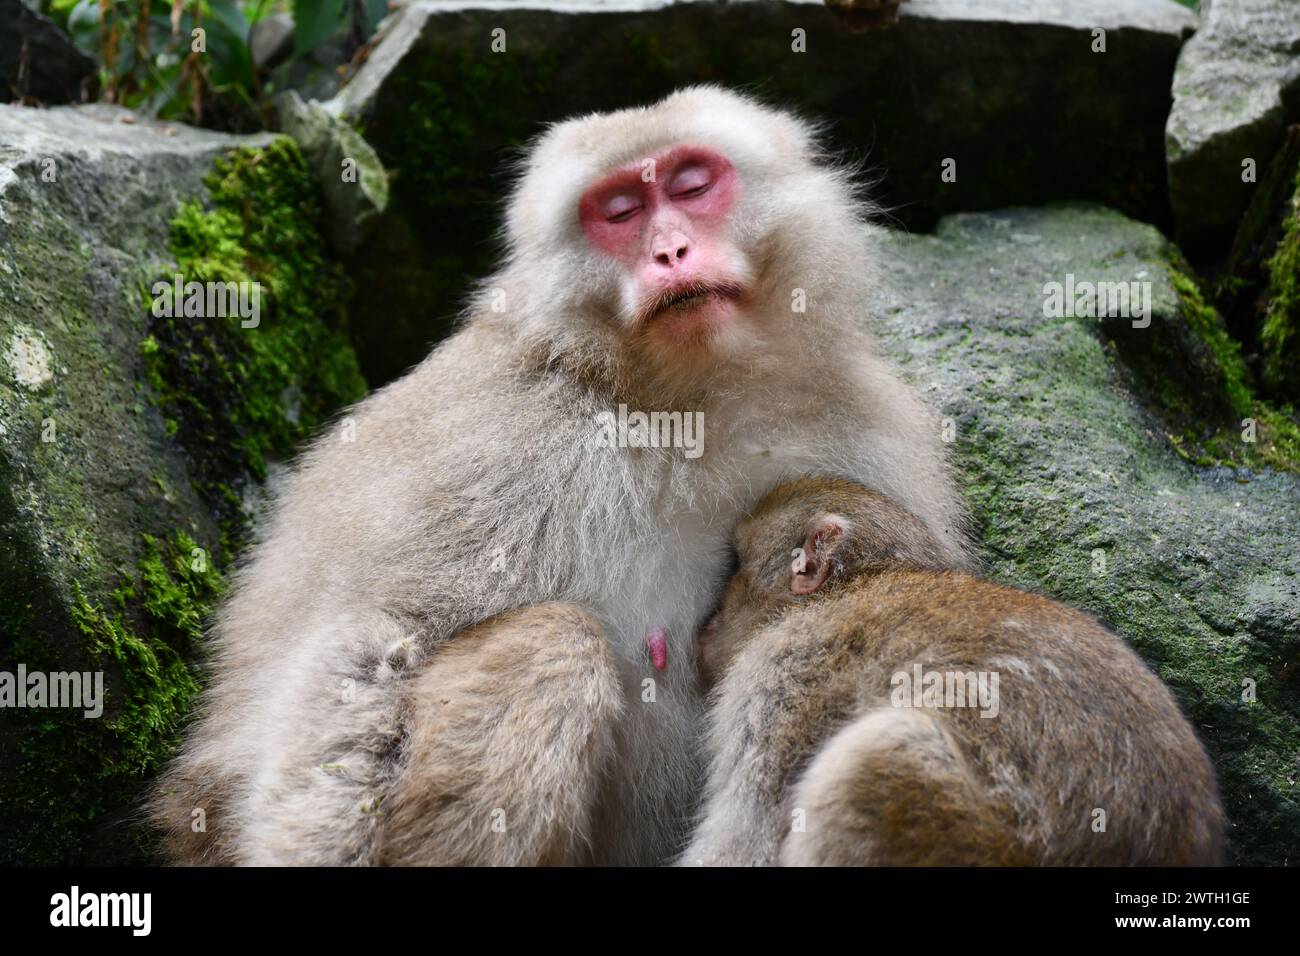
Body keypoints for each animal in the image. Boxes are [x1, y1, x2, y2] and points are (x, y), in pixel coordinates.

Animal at [150, 86, 970, 865]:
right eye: (620, 211)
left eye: (693, 183)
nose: (670, 252)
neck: (690, 406)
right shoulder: (494, 432)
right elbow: (368, 636)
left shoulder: (866, 428)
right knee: (552, 645)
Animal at [683, 476, 1225, 867]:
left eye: (735, 565)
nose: (707, 620)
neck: (856, 585)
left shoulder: (783, 676)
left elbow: (746, 835)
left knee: (872, 758)